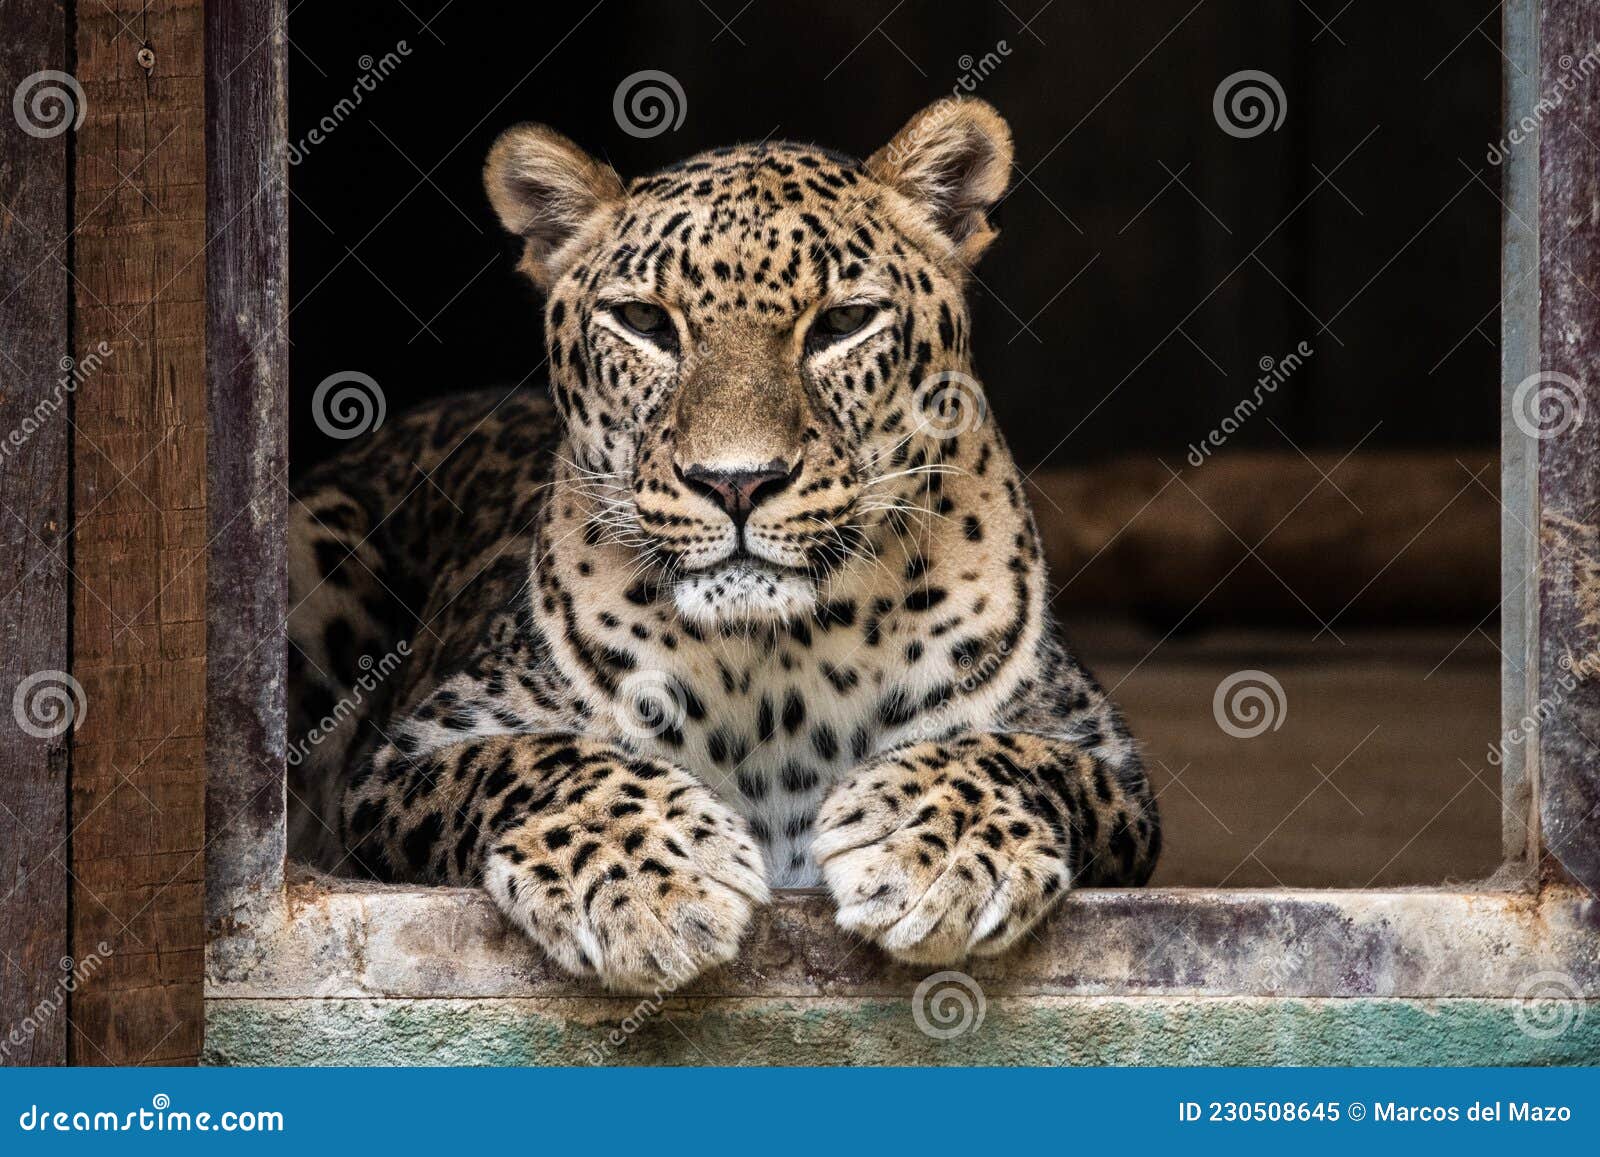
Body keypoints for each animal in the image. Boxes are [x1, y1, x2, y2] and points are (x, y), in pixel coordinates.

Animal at [286, 98, 1160, 993]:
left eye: (845, 322)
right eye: (644, 321)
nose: (736, 481)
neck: (779, 662)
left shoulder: (1101, 749)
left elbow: (1017, 757)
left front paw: (926, 843)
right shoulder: (409, 752)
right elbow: (537, 762)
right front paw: (648, 880)